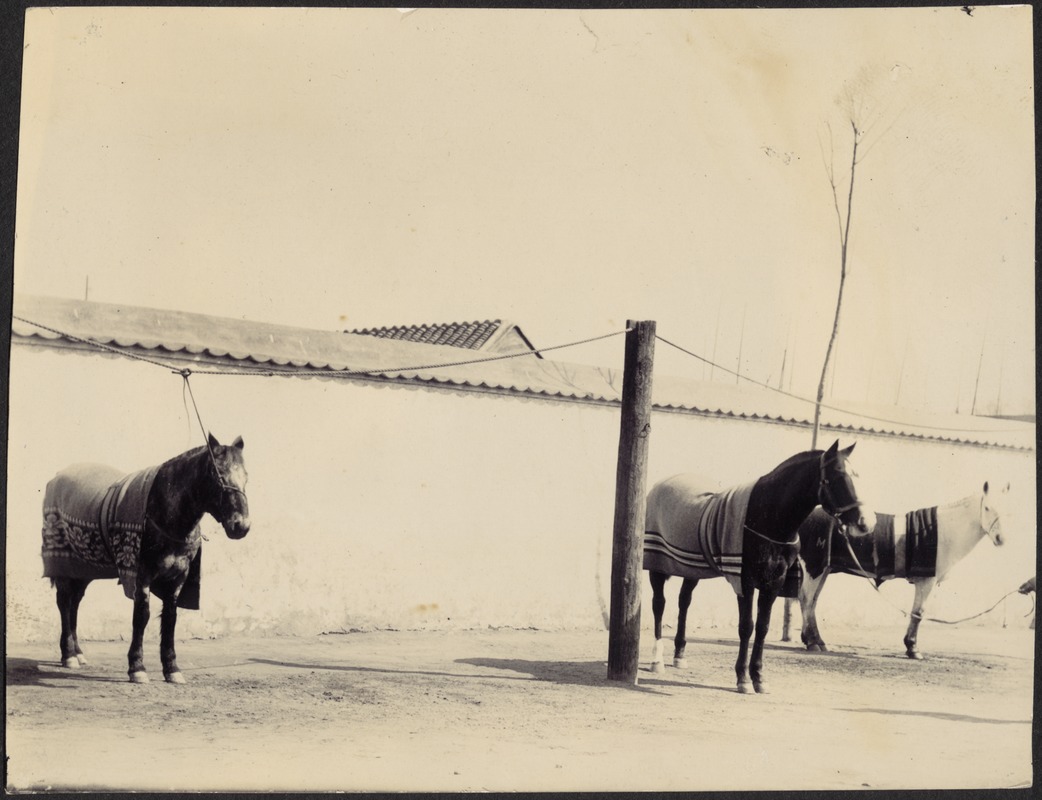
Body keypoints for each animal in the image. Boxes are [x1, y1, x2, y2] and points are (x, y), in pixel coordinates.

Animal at [41, 434, 250, 684]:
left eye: (246, 476)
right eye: (217, 475)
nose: (241, 526)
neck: (162, 511)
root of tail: (56, 477)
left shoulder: (178, 577)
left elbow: (170, 617)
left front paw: (172, 668)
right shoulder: (142, 575)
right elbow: (142, 615)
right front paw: (137, 667)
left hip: (84, 568)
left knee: (75, 602)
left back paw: (78, 652)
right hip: (64, 566)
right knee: (64, 602)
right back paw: (69, 655)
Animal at [645, 440, 873, 694]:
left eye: (857, 475)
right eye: (837, 476)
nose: (866, 523)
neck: (766, 516)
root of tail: (660, 485)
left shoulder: (773, 582)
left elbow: (762, 627)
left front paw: (759, 678)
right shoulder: (745, 580)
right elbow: (747, 626)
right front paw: (743, 679)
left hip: (691, 569)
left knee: (684, 602)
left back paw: (679, 655)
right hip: (657, 566)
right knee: (659, 604)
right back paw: (657, 661)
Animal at [792, 480, 1009, 659]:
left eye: (1008, 509)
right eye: (987, 508)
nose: (1001, 539)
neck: (944, 530)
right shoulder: (926, 580)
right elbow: (918, 612)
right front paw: (913, 648)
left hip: (823, 569)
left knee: (812, 601)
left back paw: (817, 641)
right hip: (814, 567)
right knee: (806, 599)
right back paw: (812, 642)